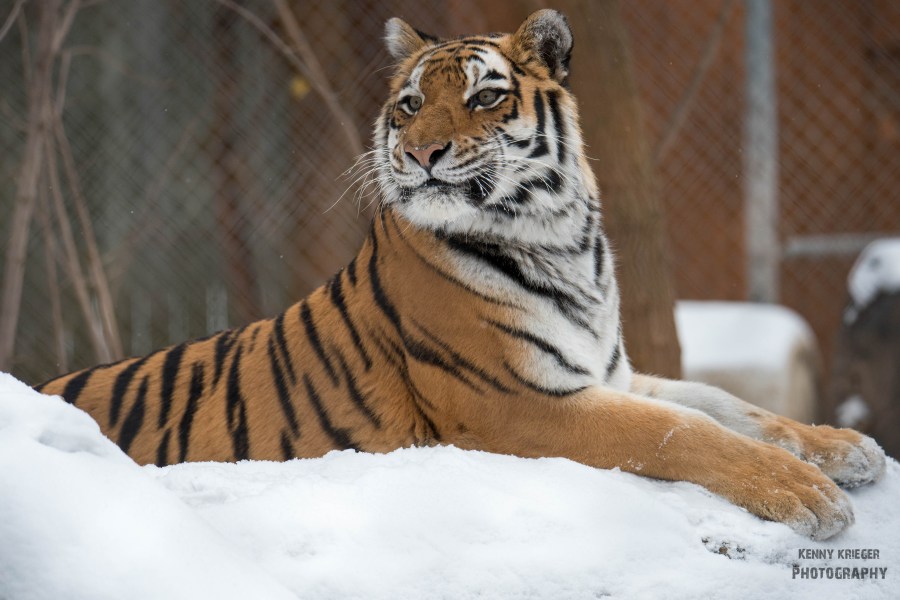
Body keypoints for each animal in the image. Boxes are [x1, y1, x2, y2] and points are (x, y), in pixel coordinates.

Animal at [35, 10, 885, 540]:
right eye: (410, 105)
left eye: (484, 96)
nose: (420, 154)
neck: (563, 240)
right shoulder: (519, 402)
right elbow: (682, 430)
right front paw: (806, 494)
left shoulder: (607, 369)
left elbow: (727, 404)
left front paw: (845, 448)